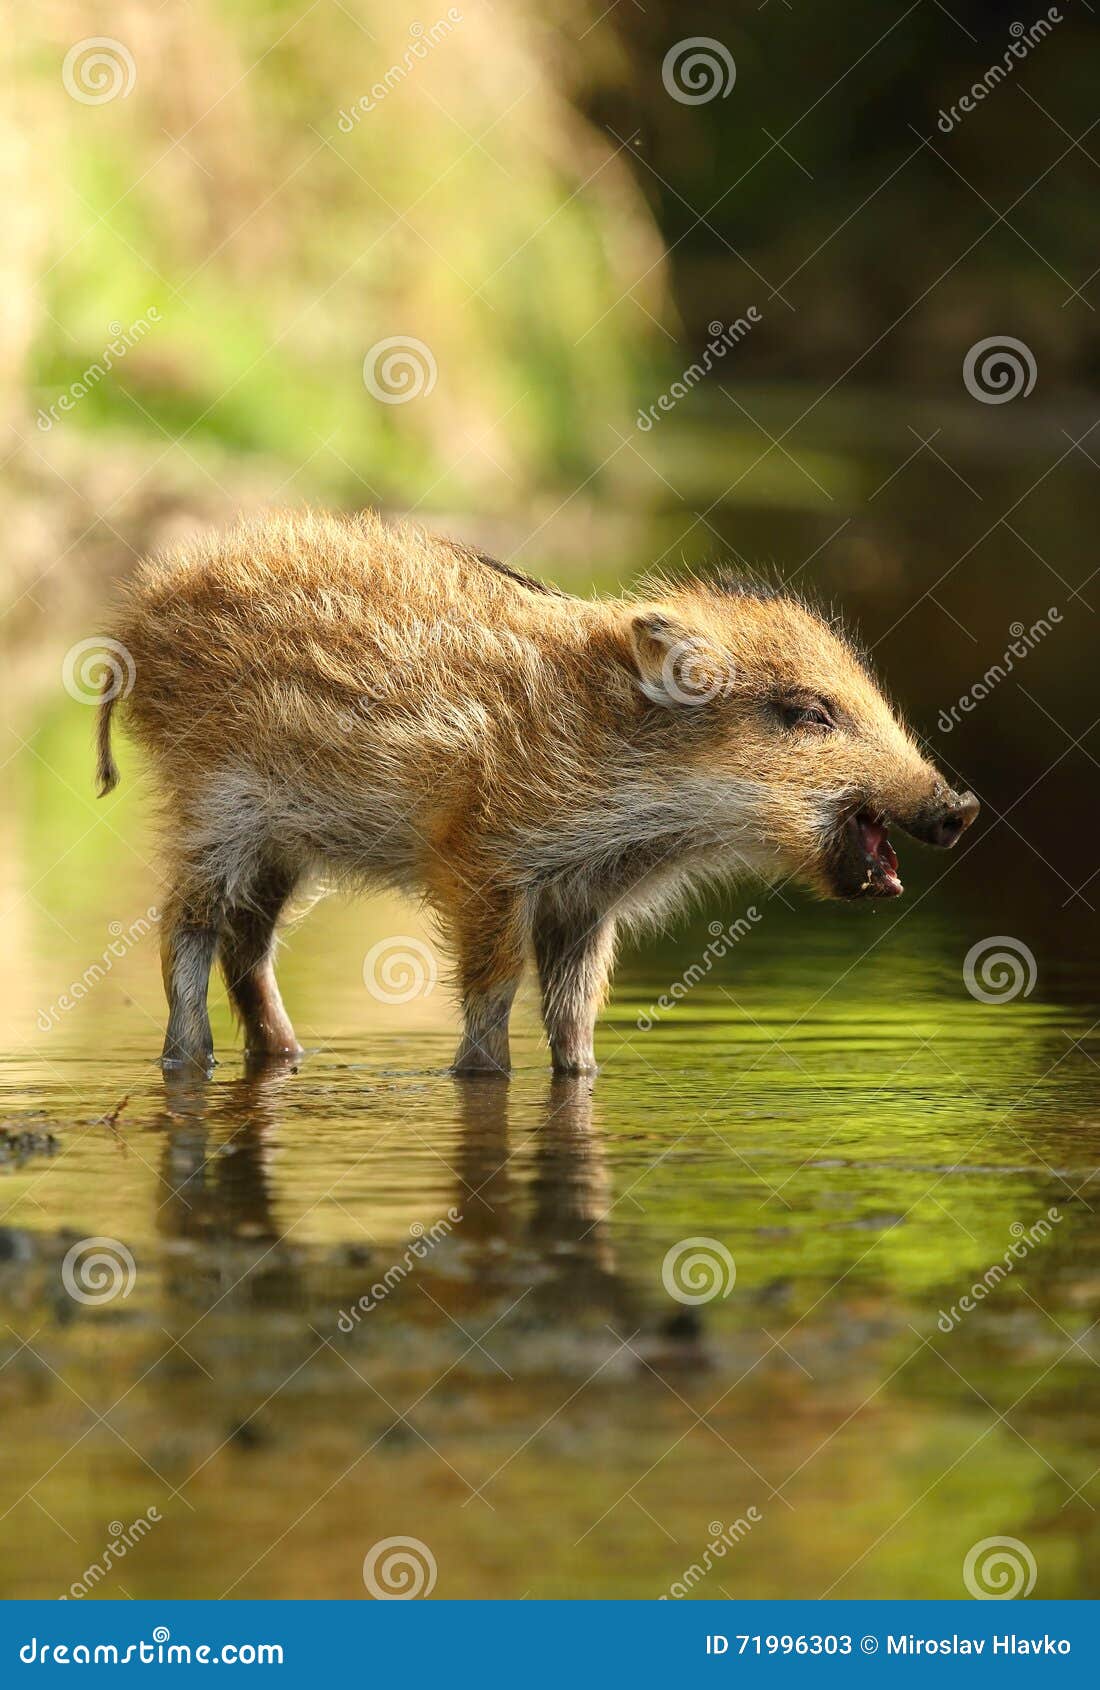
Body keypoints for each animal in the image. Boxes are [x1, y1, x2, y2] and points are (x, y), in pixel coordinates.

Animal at [96, 509, 978, 1076]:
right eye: (805, 712)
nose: (961, 808)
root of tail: (135, 621)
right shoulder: (483, 865)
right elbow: (493, 995)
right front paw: (480, 1075)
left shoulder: (583, 900)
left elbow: (574, 1012)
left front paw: (582, 1074)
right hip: (214, 807)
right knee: (186, 927)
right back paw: (187, 1059)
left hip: (283, 840)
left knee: (248, 942)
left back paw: (286, 1054)